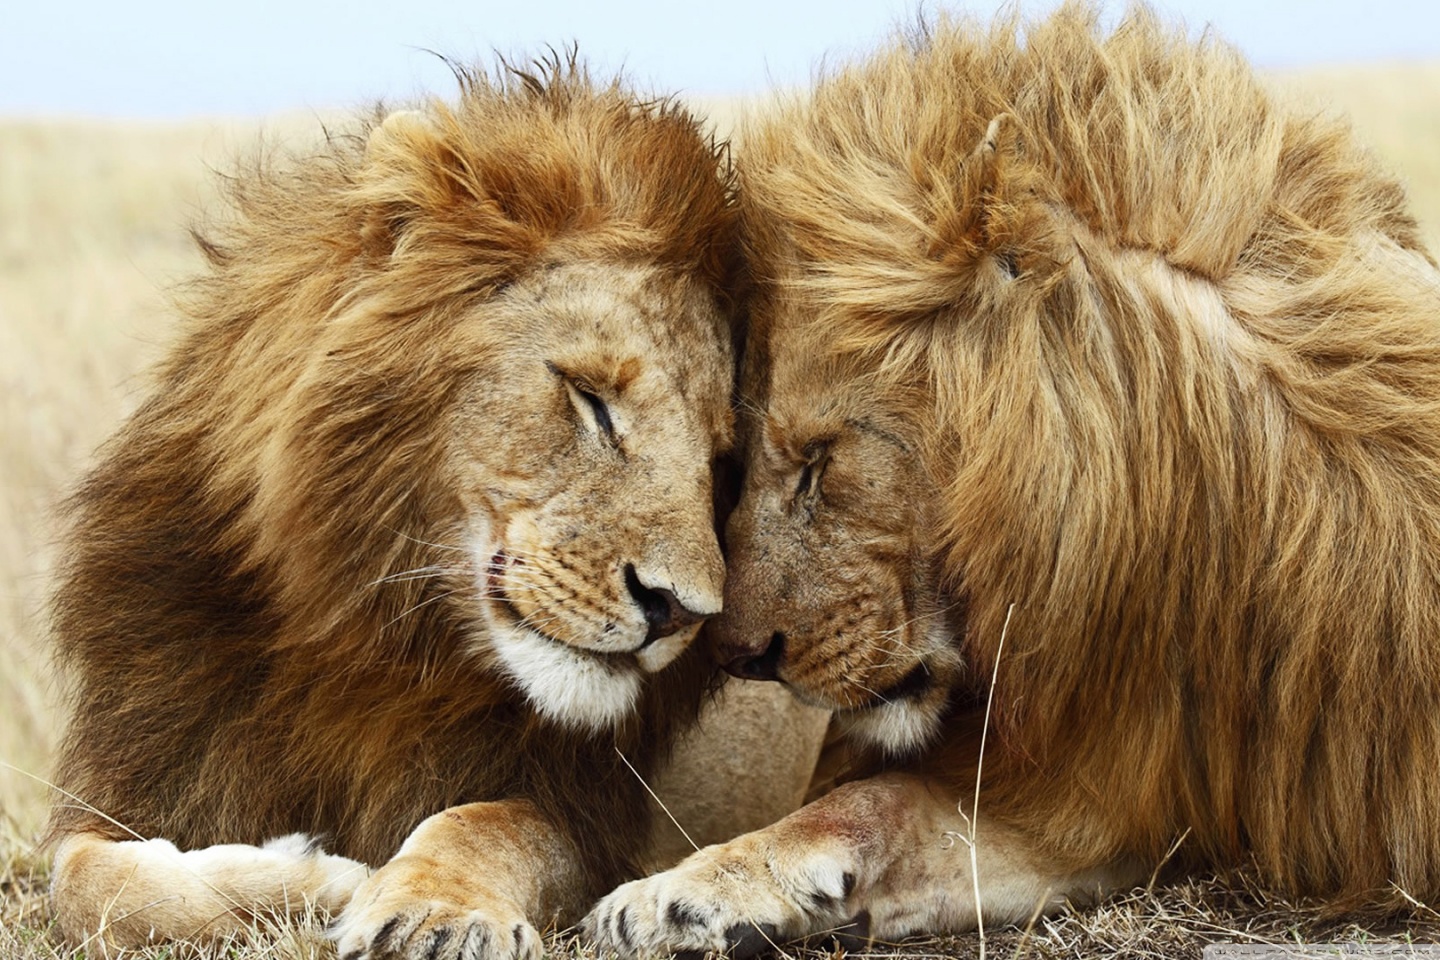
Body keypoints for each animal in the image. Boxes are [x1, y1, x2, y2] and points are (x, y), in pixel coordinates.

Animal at [45, 59, 748, 958]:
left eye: (720, 460)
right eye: (590, 399)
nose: (680, 612)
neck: (370, 633)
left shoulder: (585, 816)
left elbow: (484, 824)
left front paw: (431, 910)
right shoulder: (141, 772)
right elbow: (86, 881)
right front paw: (305, 877)